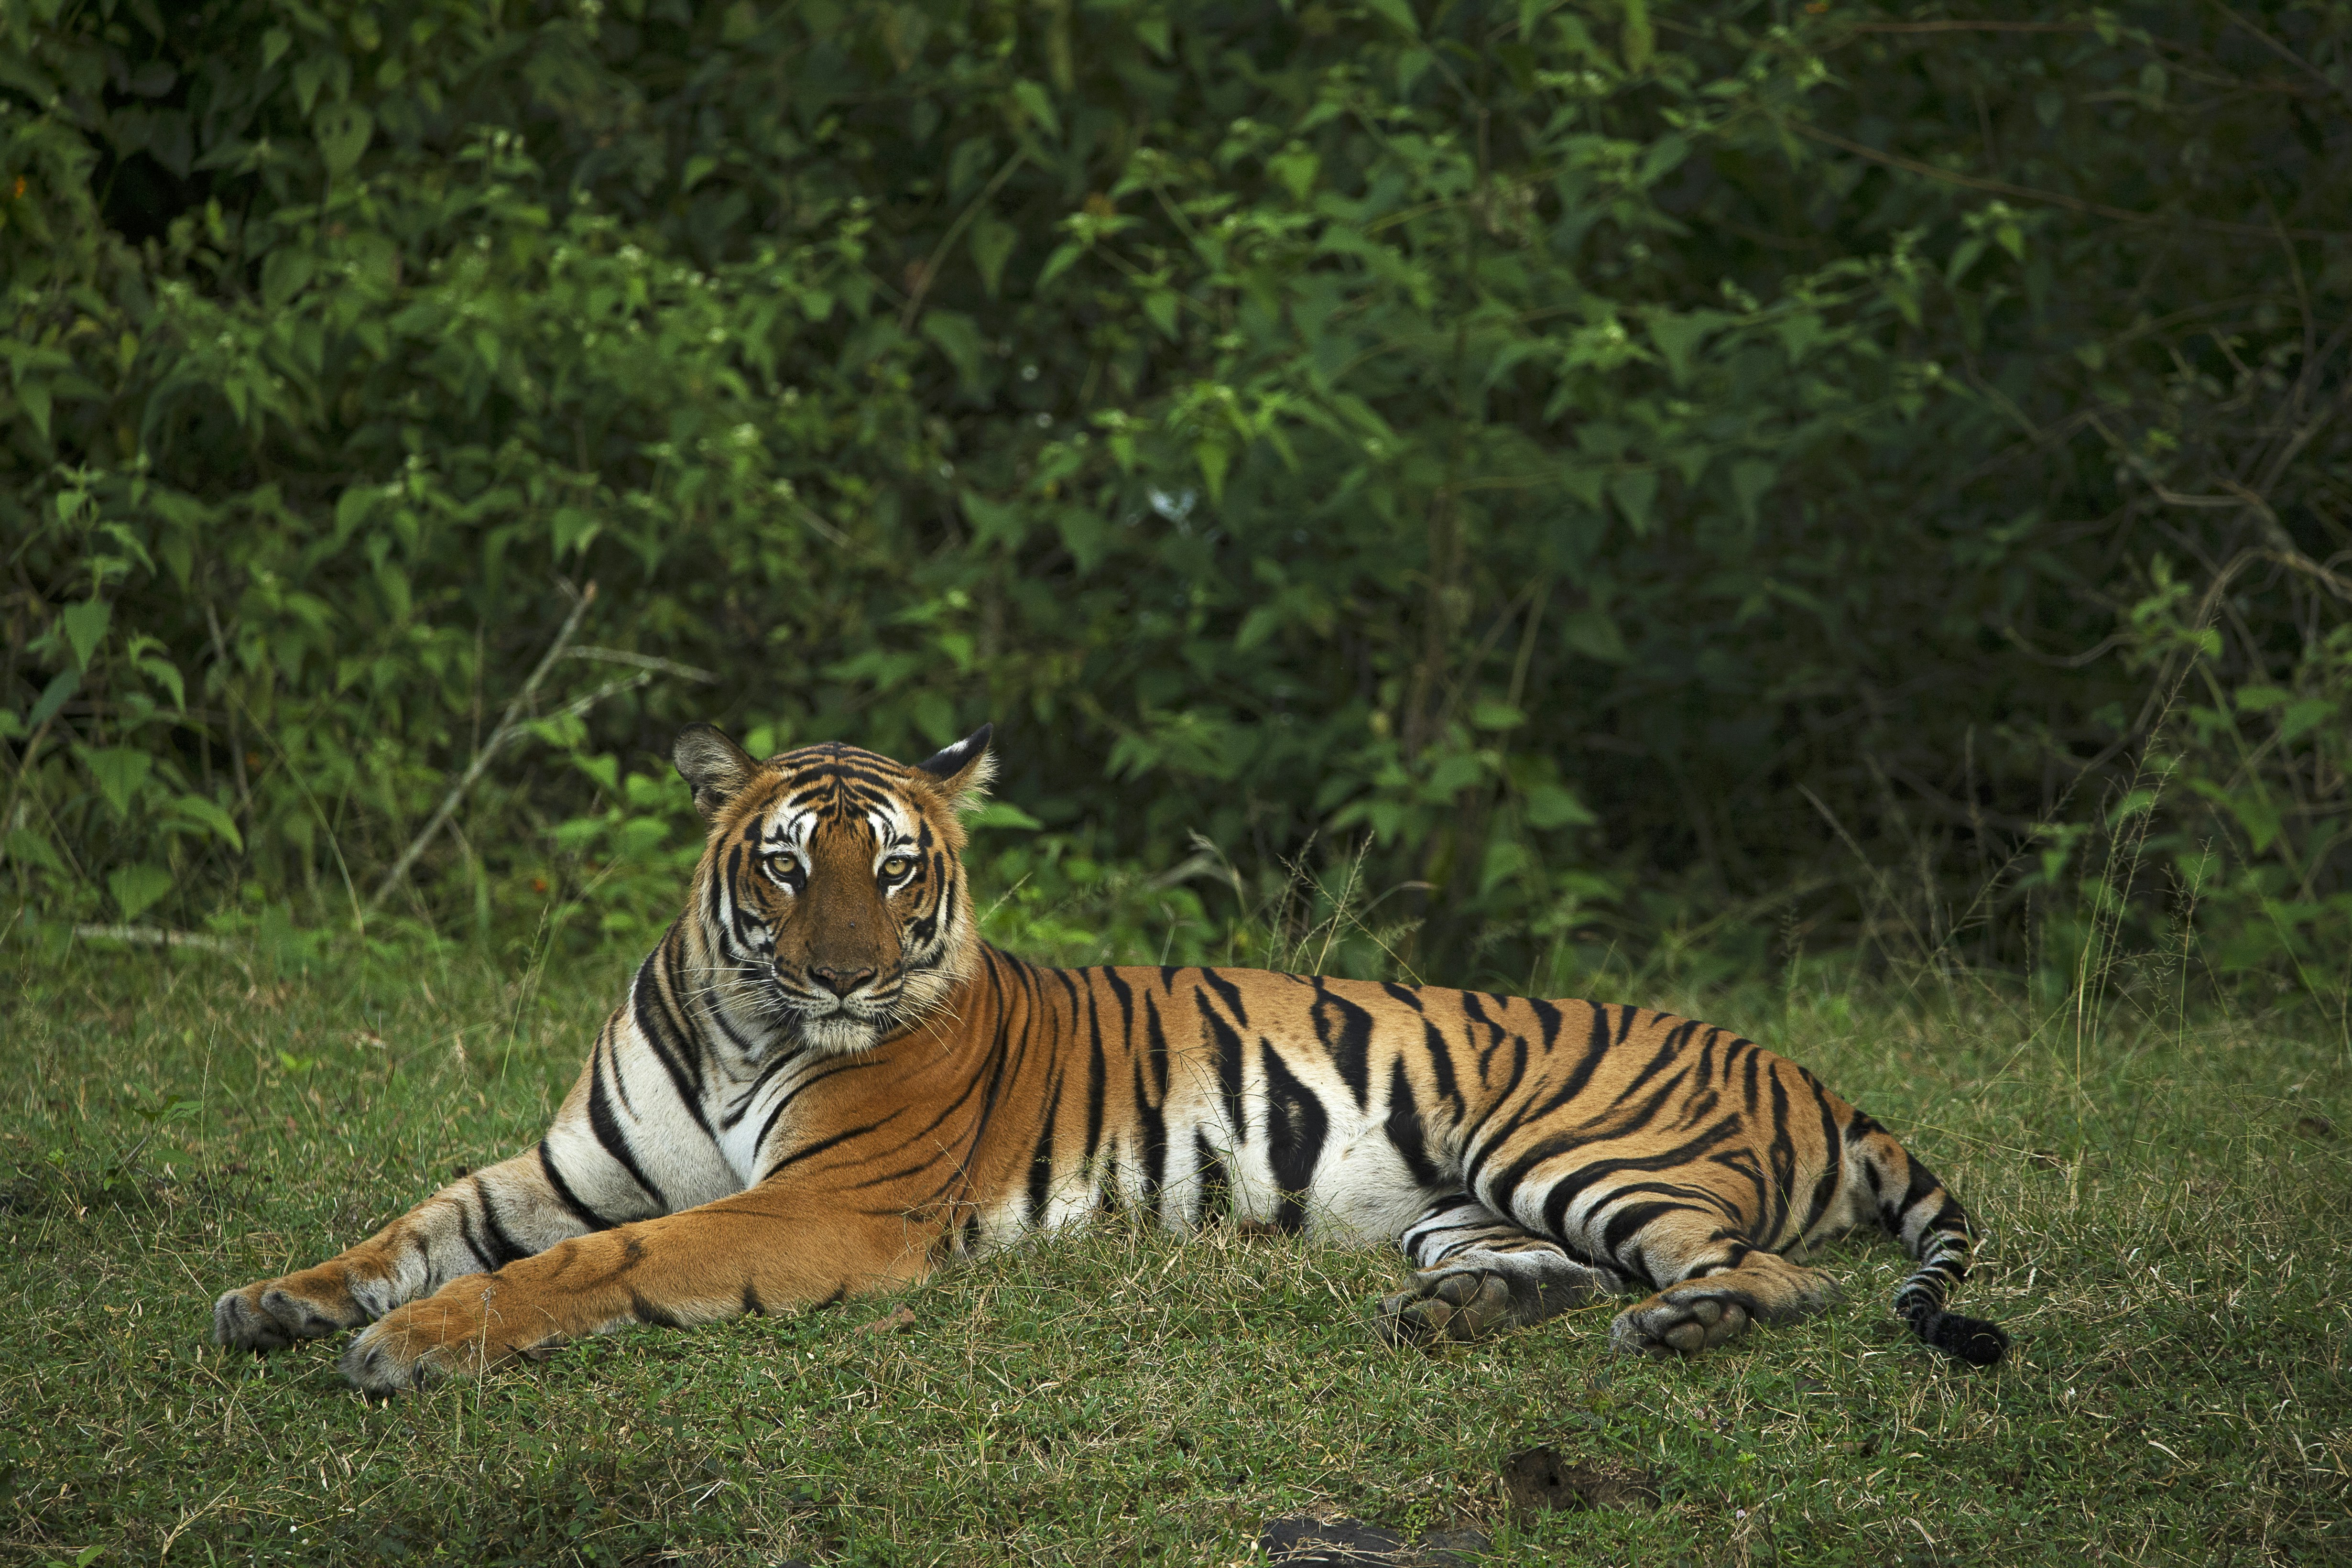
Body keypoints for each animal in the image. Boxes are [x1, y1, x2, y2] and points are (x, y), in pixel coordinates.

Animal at [211, 723, 2010, 1393]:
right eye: (786, 868)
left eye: (898, 866)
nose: (849, 973)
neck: (745, 1016)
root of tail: (1810, 1074)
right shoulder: (567, 1165)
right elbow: (420, 1224)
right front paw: (278, 1301)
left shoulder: (823, 1210)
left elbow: (601, 1265)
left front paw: (408, 1347)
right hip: (1463, 1200)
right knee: (1548, 1270)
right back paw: (1450, 1316)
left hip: (1575, 1146)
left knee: (1781, 1274)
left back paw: (1684, 1322)